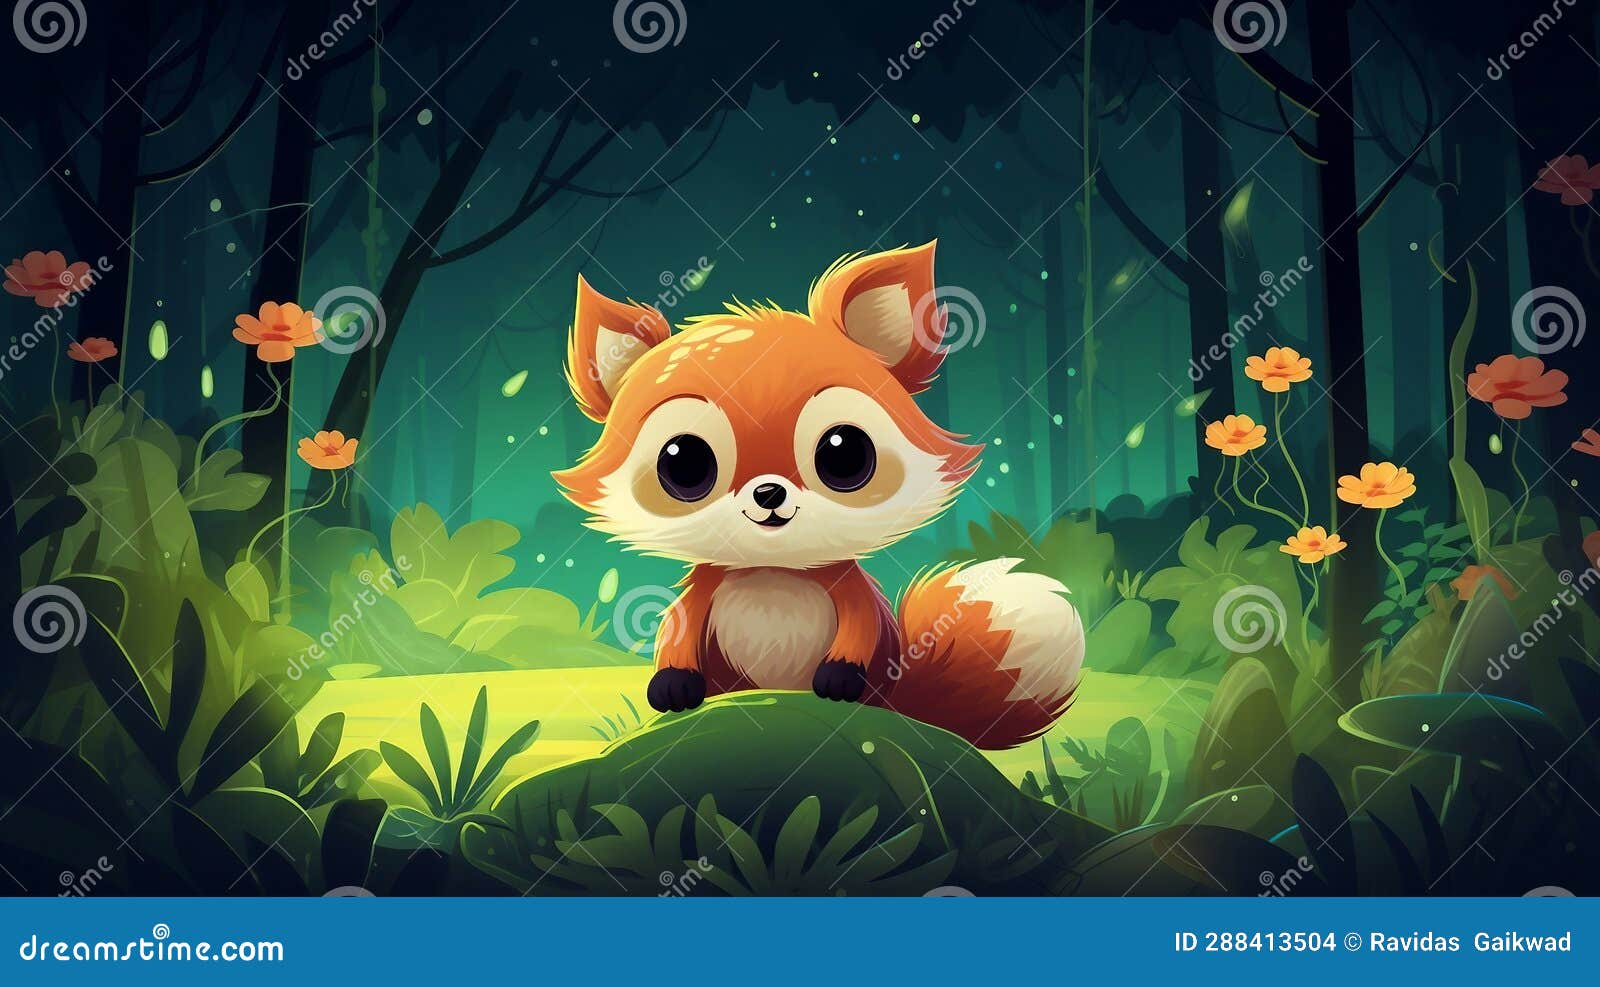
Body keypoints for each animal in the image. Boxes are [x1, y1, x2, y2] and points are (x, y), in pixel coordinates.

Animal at [553, 241, 1085, 749]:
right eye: (683, 463)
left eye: (844, 453)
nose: (769, 492)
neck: (772, 572)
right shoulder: (703, 591)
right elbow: (676, 630)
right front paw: (672, 682)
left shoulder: (848, 588)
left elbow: (860, 626)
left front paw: (840, 675)